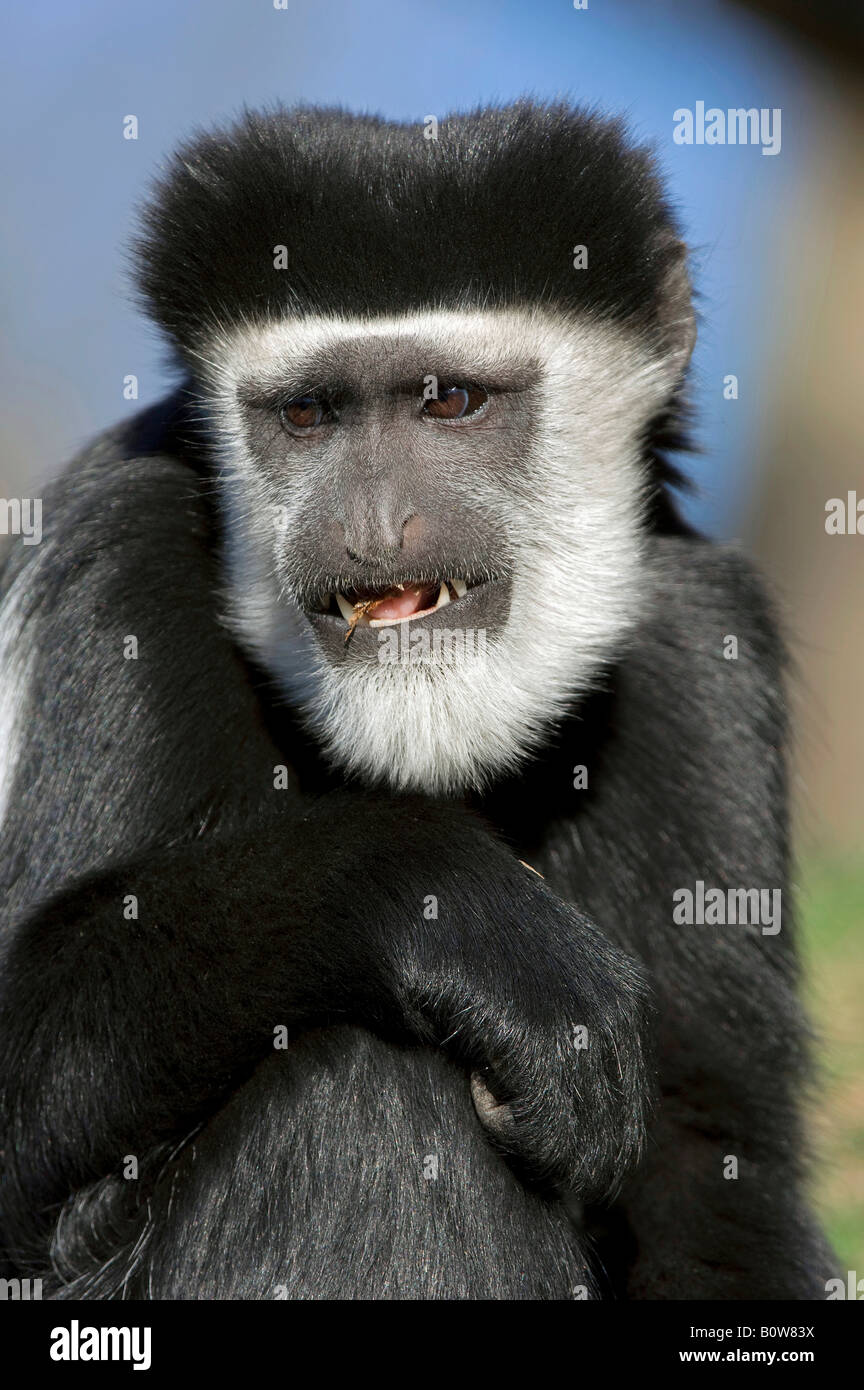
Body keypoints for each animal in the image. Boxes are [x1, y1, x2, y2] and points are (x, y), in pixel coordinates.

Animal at [0, 100, 832, 1299]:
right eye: (308, 414)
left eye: (449, 401)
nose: (369, 529)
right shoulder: (118, 565)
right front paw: (468, 920)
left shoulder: (699, 646)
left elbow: (715, 1163)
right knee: (365, 1096)